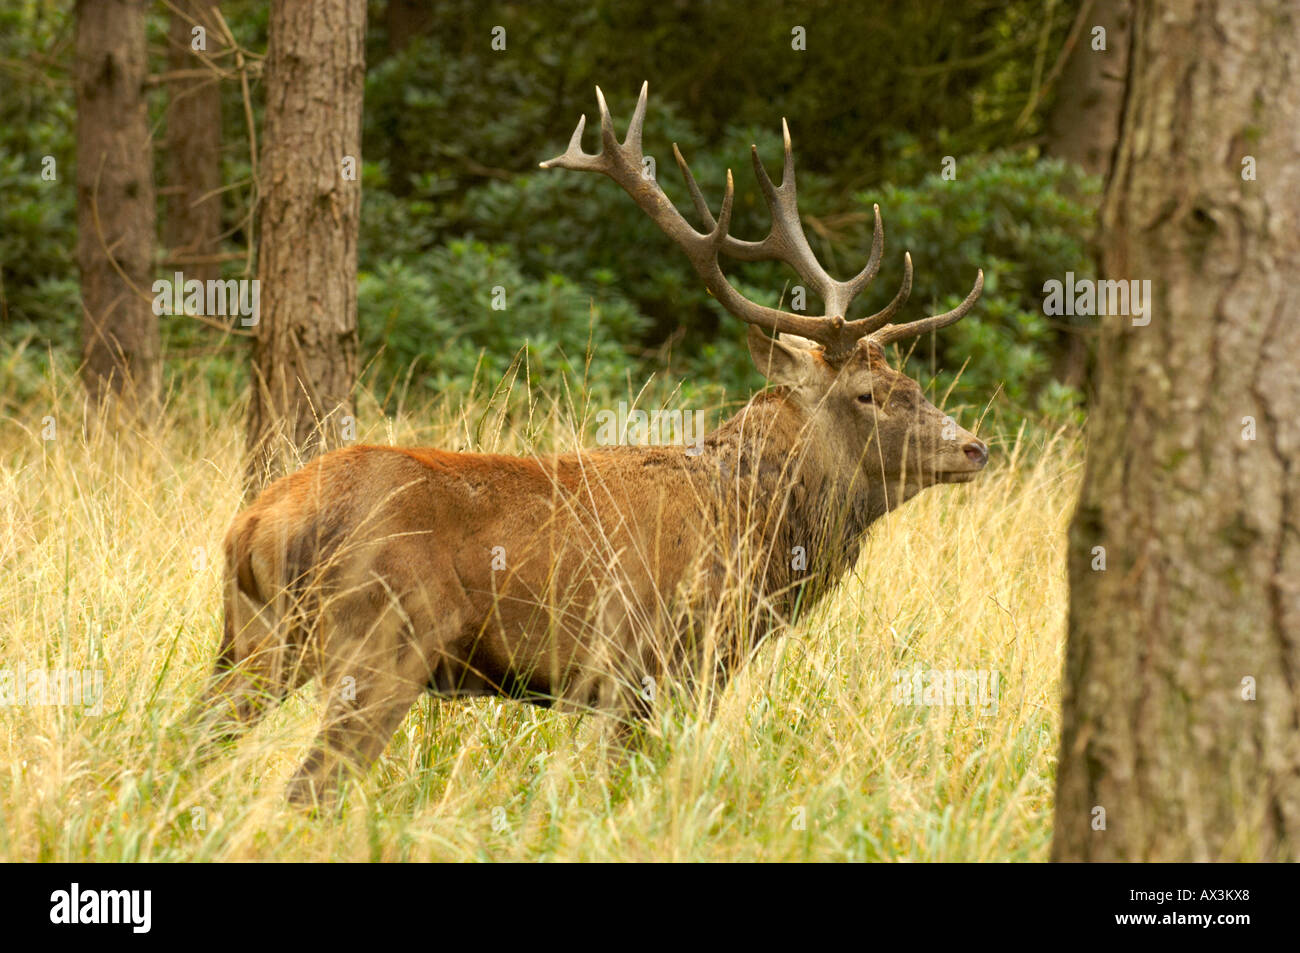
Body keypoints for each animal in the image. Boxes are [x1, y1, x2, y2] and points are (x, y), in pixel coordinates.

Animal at [191, 83, 989, 808]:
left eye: (914, 380)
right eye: (868, 394)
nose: (976, 447)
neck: (756, 534)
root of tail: (252, 525)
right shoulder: (656, 664)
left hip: (250, 643)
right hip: (379, 647)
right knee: (309, 786)